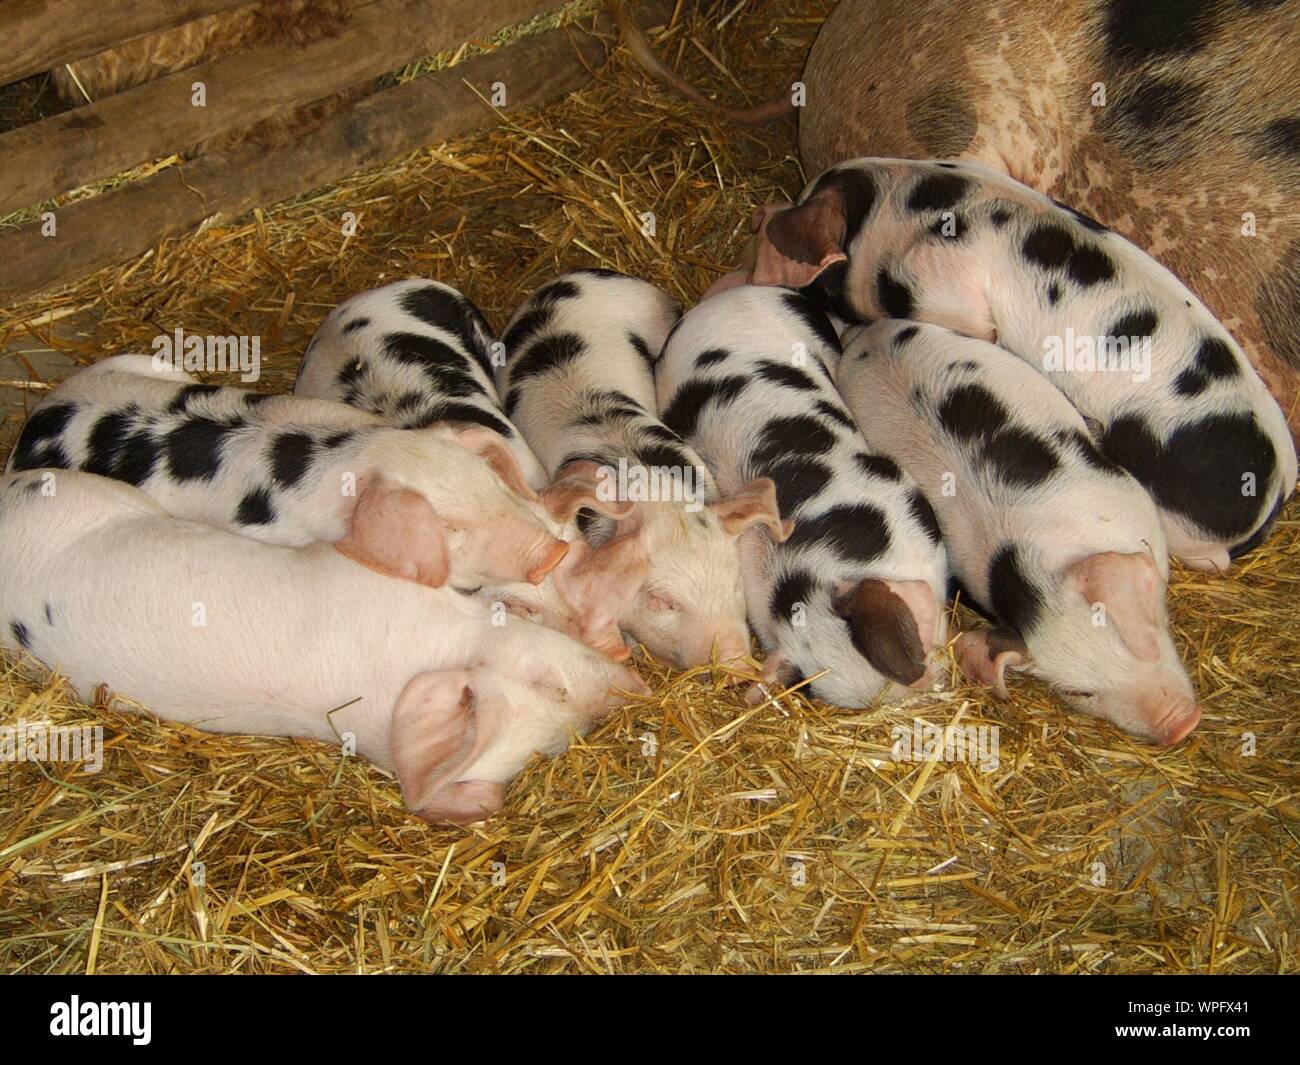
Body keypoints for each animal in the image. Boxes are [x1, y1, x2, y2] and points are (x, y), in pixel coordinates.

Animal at [743, 158, 1296, 573]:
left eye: (825, 280)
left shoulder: (943, 287)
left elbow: (975, 329)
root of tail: (1275, 489)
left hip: (1184, 525)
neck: (894, 206)